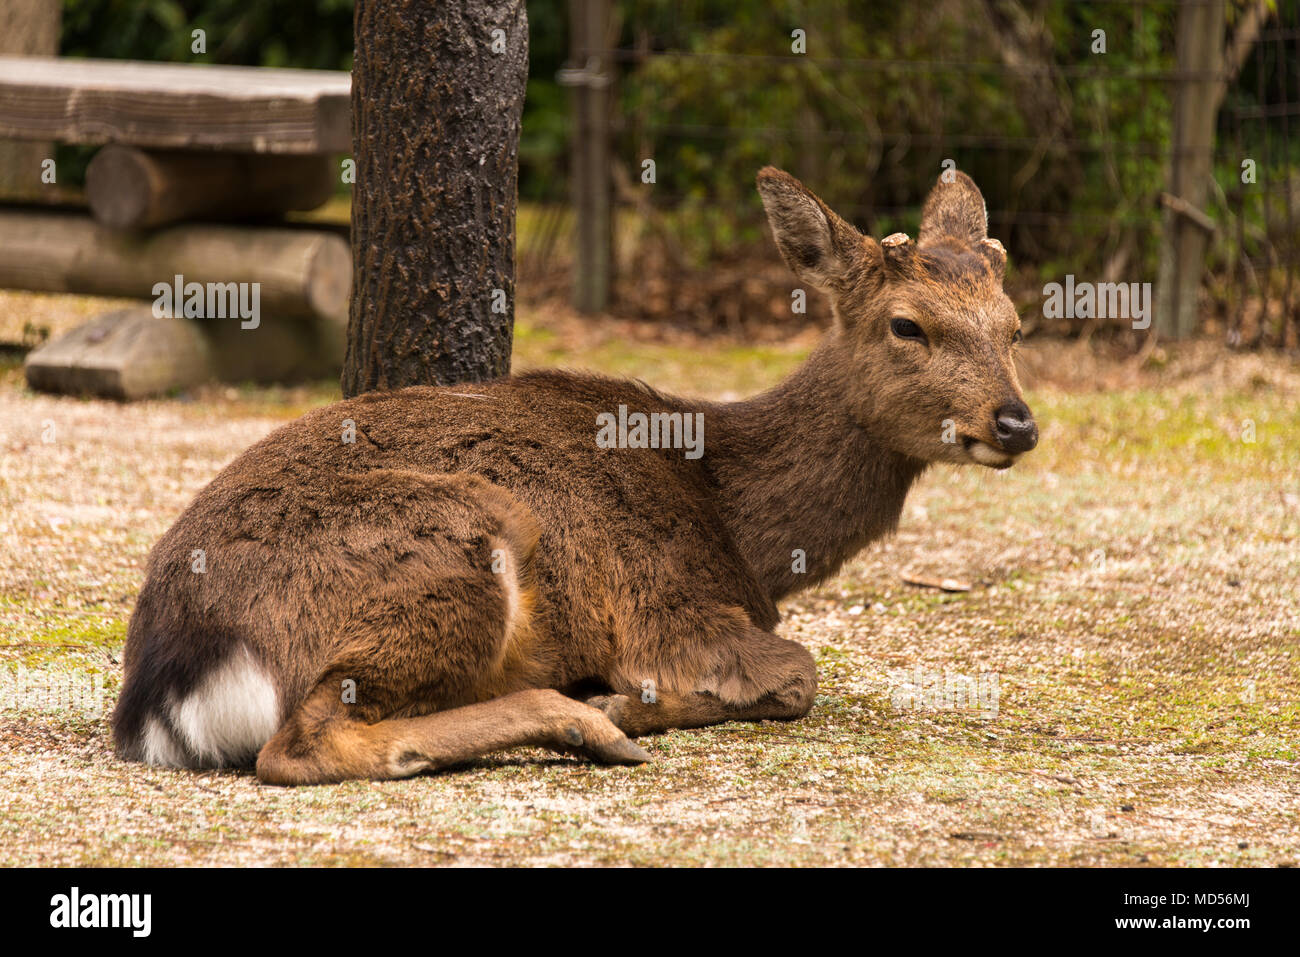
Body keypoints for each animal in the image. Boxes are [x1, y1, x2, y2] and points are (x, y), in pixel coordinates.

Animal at [111, 167, 1038, 785]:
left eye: (1015, 325)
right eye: (906, 325)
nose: (1017, 421)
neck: (735, 520)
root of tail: (170, 677)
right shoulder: (666, 604)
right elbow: (798, 672)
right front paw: (632, 701)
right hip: (463, 532)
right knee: (298, 745)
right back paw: (586, 722)